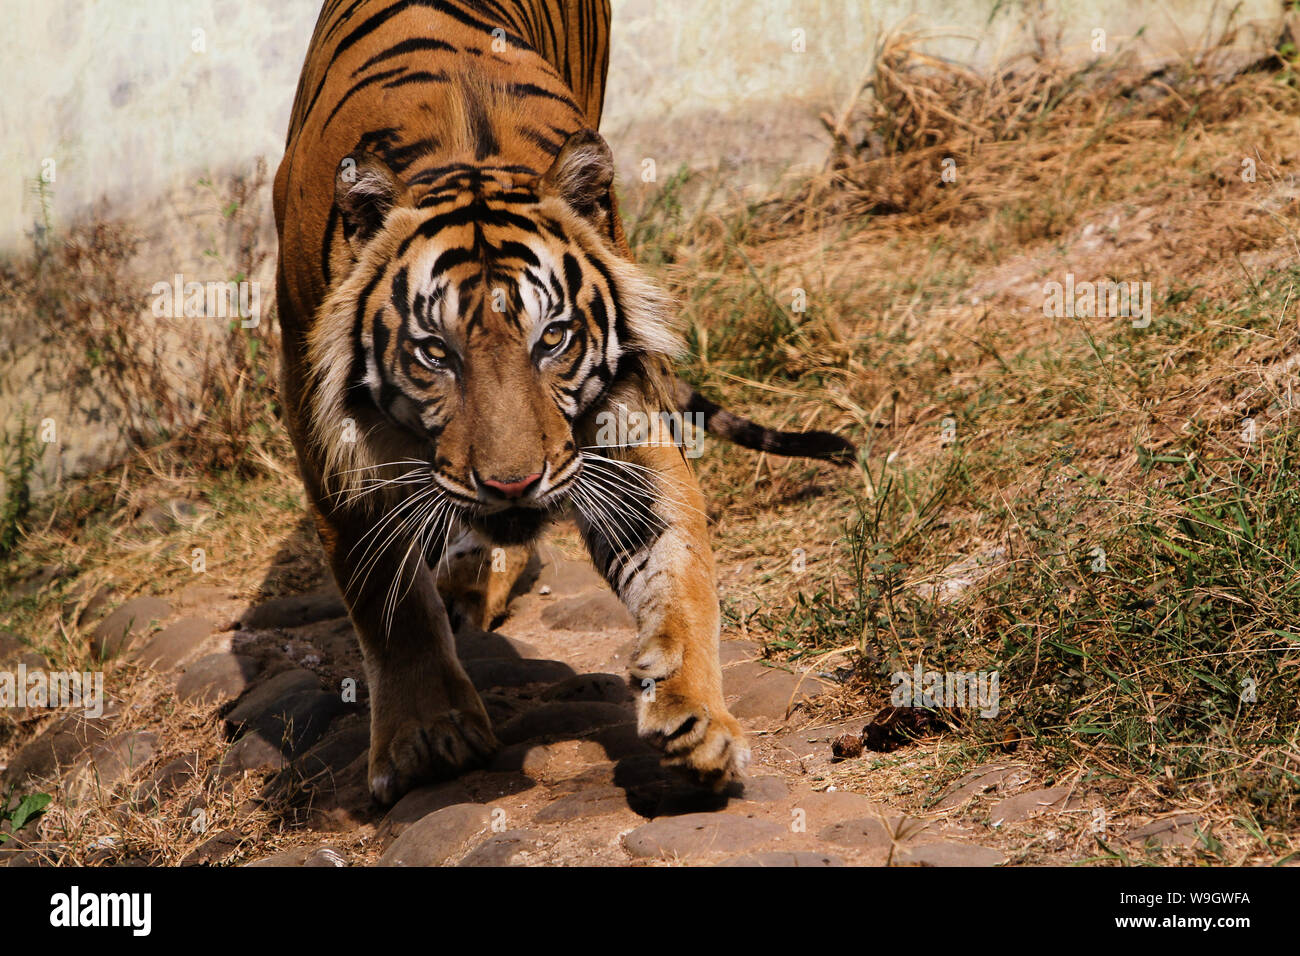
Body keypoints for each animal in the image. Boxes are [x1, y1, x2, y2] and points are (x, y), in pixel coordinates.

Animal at [273, 0, 855, 804]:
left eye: (552, 340)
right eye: (436, 354)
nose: (513, 483)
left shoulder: (618, 423)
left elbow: (681, 571)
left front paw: (697, 719)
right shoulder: (322, 431)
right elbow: (385, 599)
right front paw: (427, 738)